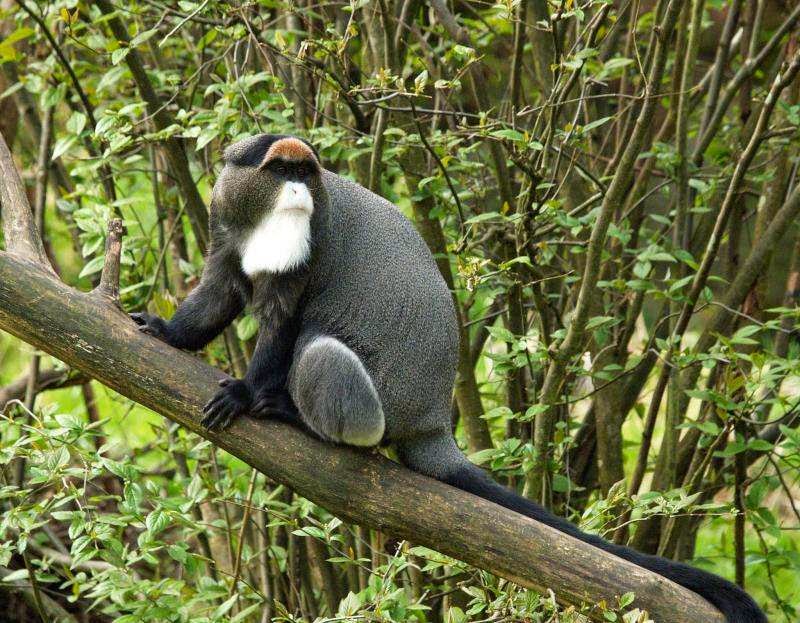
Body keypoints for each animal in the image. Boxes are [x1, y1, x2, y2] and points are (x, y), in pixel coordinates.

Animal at [131, 134, 765, 623]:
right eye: (279, 171)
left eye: (304, 173)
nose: (296, 192)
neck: (263, 221)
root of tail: (434, 421)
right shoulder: (225, 227)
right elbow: (219, 291)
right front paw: (165, 331)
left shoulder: (308, 250)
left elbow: (284, 323)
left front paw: (246, 391)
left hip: (379, 406)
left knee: (321, 356)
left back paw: (297, 413)